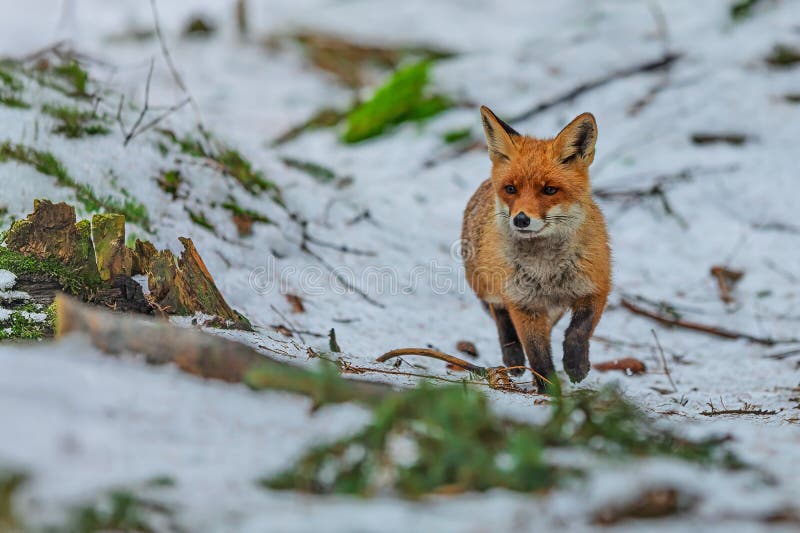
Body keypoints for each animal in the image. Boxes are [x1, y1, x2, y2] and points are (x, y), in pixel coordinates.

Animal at [461, 106, 611, 390]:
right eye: (511, 189)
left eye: (550, 190)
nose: (521, 219)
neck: (546, 267)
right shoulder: (523, 304)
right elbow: (538, 355)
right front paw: (549, 392)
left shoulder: (595, 287)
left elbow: (579, 331)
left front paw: (576, 365)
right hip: (488, 285)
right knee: (500, 316)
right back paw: (513, 357)